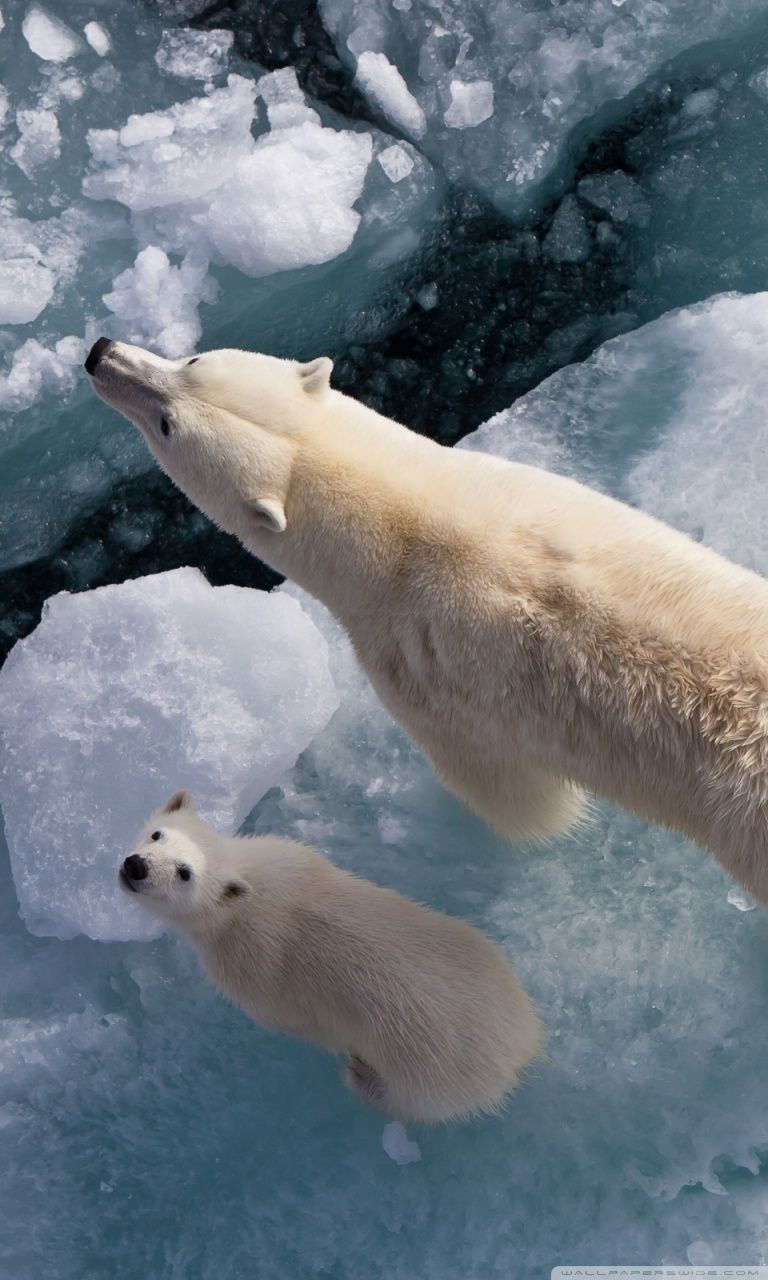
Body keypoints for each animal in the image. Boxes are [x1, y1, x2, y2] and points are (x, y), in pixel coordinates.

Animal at [88, 339, 768, 902]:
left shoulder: (419, 675)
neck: (411, 524)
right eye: (194, 360)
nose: (100, 354)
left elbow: (515, 797)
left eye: (168, 423)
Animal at [119, 790, 543, 1124]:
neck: (252, 891)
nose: (136, 866)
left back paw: (360, 1076)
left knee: (410, 1101)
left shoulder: (251, 970)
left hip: (428, 1071)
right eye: (158, 833)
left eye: (184, 872)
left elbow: (292, 1021)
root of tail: (521, 1045)